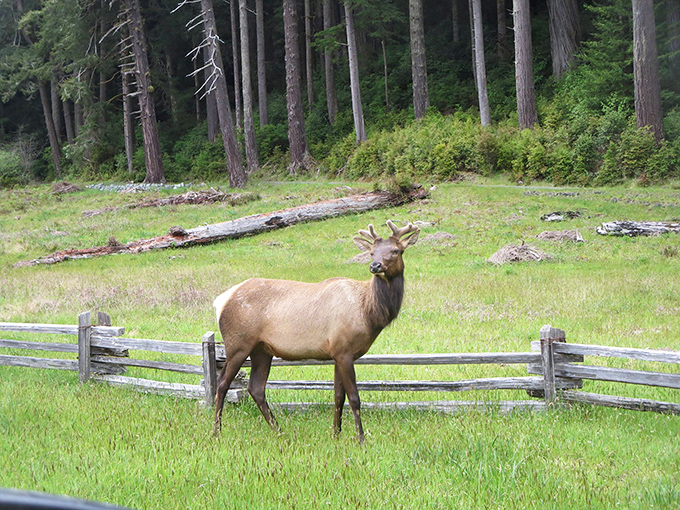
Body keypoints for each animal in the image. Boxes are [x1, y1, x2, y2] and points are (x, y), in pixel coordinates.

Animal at [212, 220, 420, 443]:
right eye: (372, 252)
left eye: (396, 250)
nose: (375, 266)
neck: (368, 312)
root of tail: (220, 301)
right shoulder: (344, 350)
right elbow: (354, 398)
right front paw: (360, 439)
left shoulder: (338, 353)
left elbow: (338, 396)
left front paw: (336, 434)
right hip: (238, 343)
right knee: (222, 383)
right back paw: (216, 431)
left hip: (262, 349)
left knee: (256, 387)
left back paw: (279, 431)